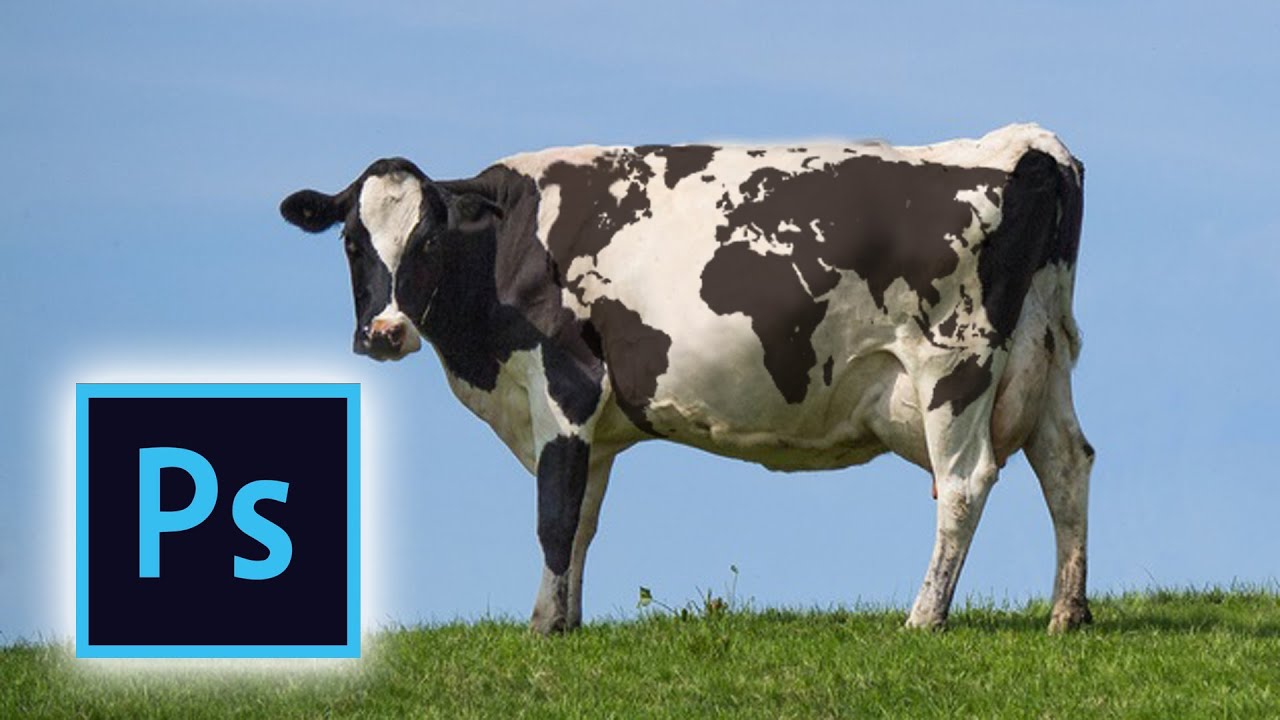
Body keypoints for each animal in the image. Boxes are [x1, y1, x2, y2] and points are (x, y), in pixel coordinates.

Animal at [280, 123, 1091, 634]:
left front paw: (542, 629)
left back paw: (924, 618)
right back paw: (1068, 613)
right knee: (1067, 465)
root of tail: (1025, 145)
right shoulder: (594, 426)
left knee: (963, 485)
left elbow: (553, 514)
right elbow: (582, 518)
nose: (385, 333)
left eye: (427, 240)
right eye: (353, 241)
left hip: (953, 363)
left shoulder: (565, 385)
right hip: (1046, 357)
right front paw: (567, 619)